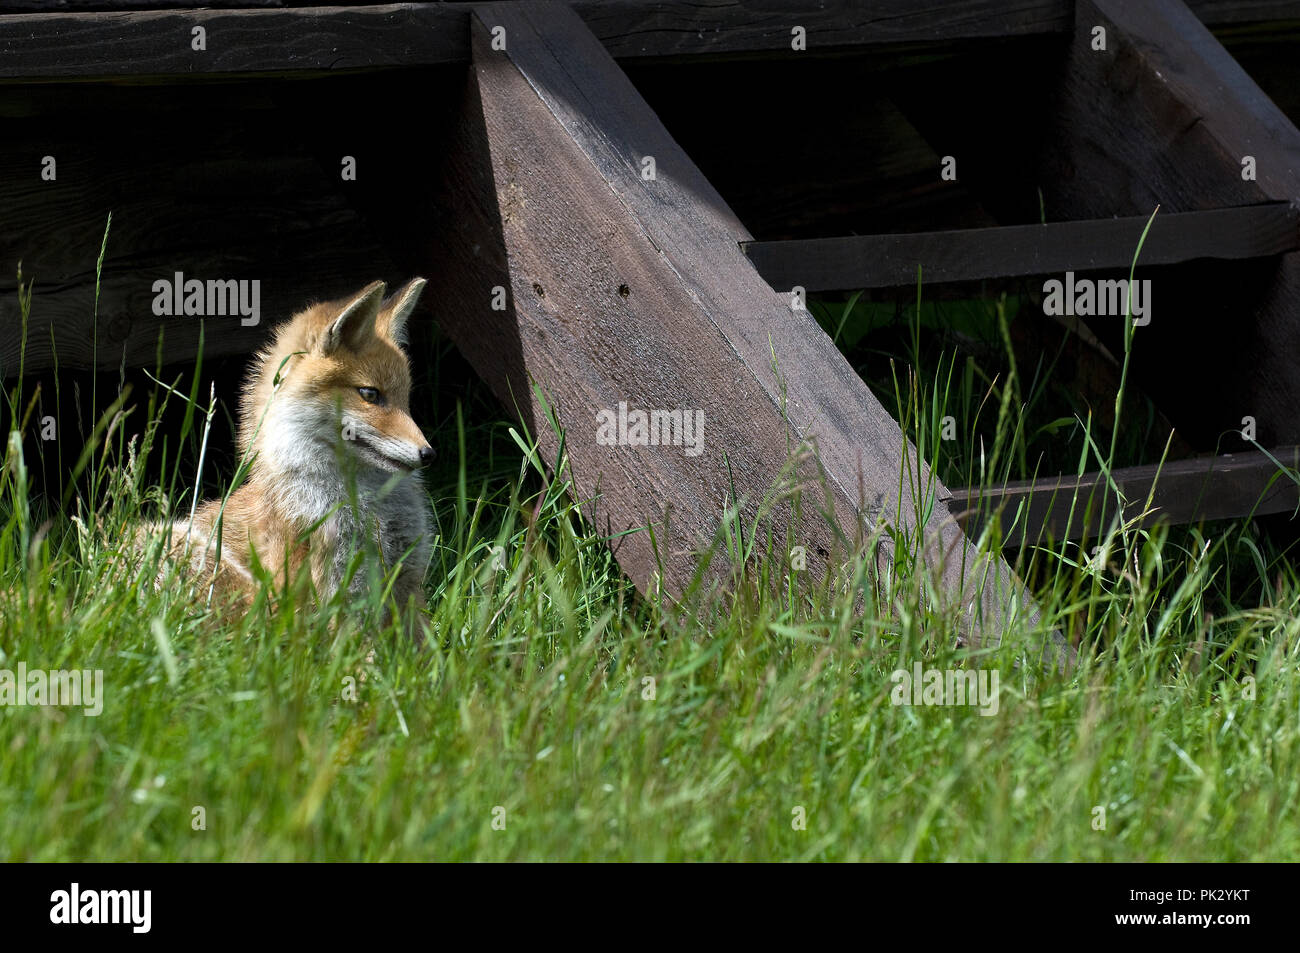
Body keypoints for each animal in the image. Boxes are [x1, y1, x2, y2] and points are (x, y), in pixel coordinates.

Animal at [142, 278, 435, 631]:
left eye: (406, 399)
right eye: (370, 394)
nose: (428, 454)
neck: (370, 508)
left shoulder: (407, 584)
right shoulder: (334, 592)